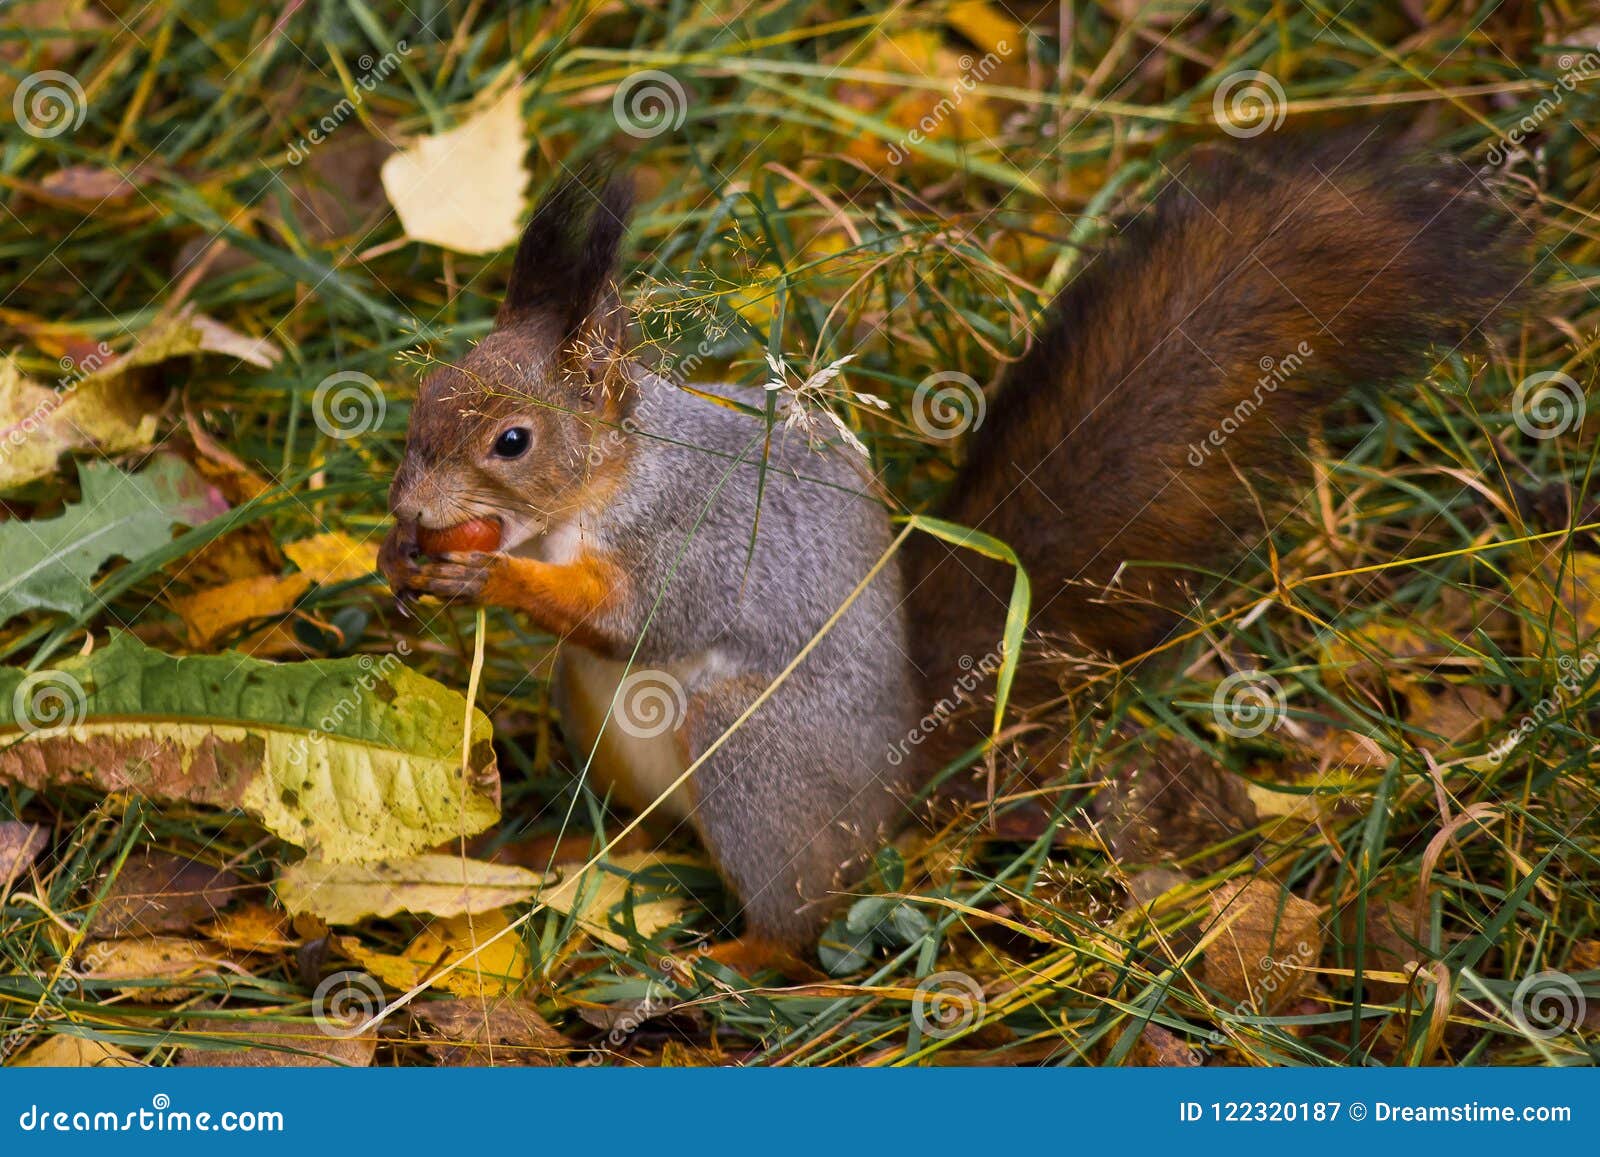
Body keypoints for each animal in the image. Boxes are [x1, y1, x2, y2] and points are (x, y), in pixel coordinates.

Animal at [379, 131, 1522, 951]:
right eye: (425, 399)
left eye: (513, 440)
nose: (415, 507)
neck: (602, 486)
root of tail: (892, 777)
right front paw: (398, 558)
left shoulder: (691, 539)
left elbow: (629, 615)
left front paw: (491, 573)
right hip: (601, 724)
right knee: (649, 828)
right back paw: (556, 840)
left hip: (750, 748)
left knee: (798, 920)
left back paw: (735, 956)